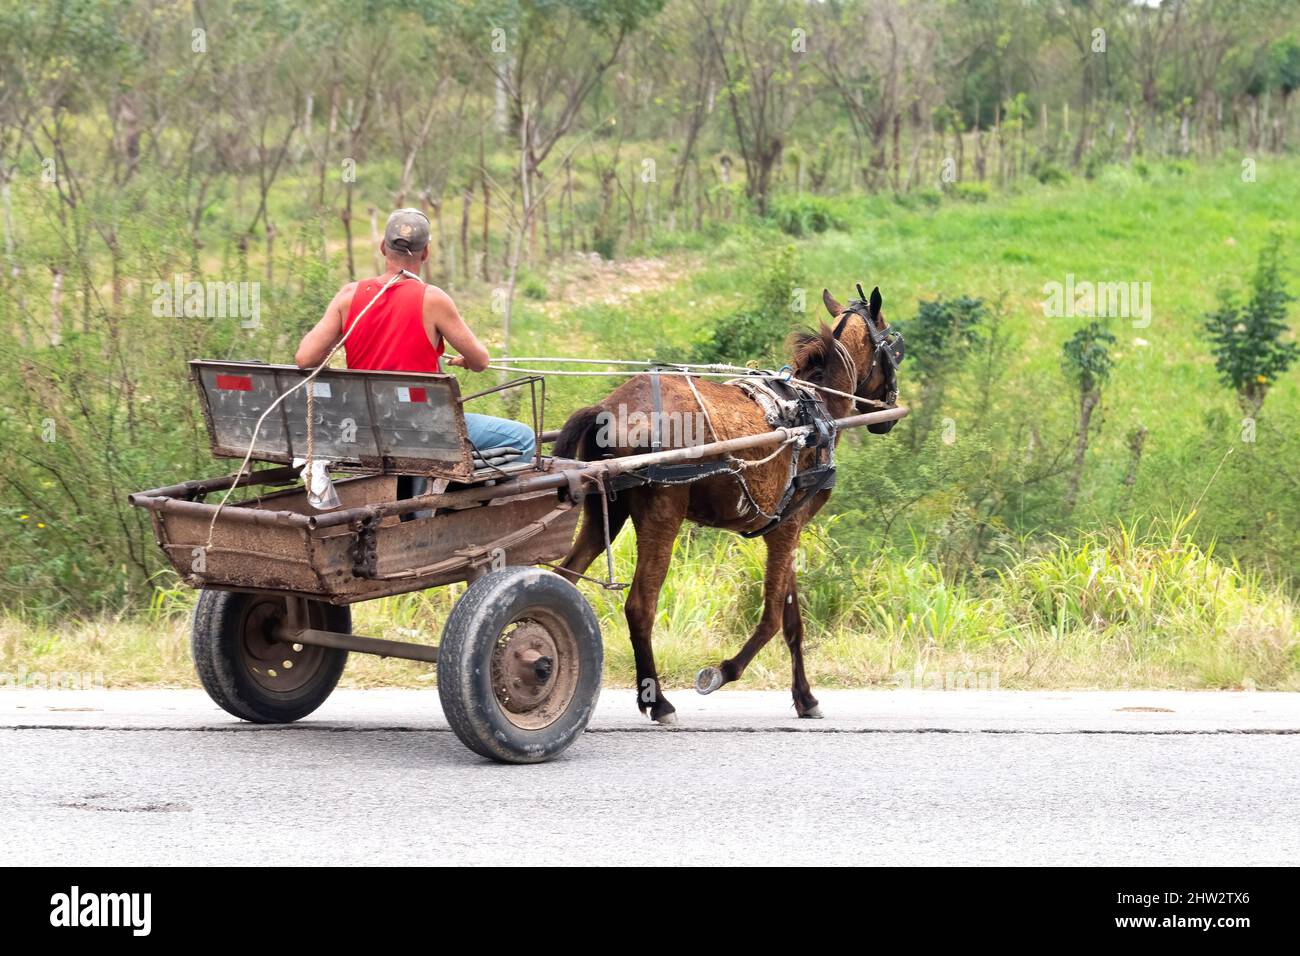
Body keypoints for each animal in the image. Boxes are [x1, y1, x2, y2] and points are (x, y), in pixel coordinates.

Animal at [553, 285, 903, 724]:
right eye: (893, 345)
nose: (888, 416)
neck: (814, 408)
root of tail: (608, 408)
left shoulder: (786, 525)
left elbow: (792, 622)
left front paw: (805, 697)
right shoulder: (787, 529)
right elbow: (772, 617)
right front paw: (721, 672)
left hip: (607, 513)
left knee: (564, 578)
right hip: (662, 514)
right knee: (640, 606)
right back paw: (657, 699)